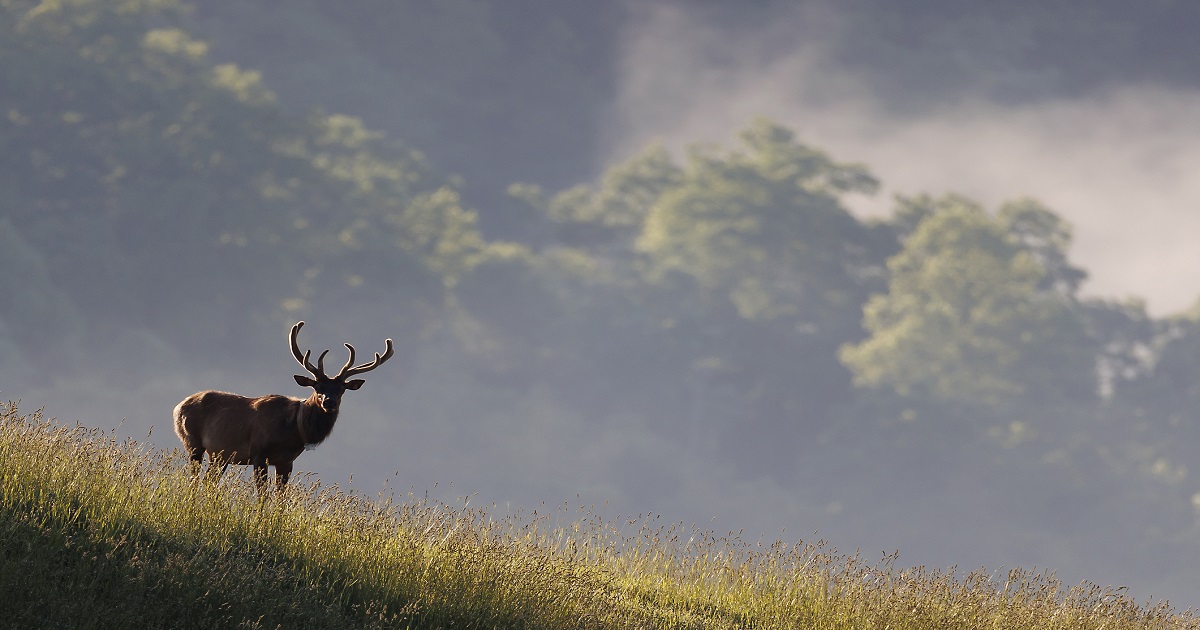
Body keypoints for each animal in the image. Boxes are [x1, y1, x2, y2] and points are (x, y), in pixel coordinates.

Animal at [173, 321, 393, 495]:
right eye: (317, 387)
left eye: (341, 390)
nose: (328, 402)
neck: (293, 430)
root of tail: (178, 407)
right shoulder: (258, 452)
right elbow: (263, 495)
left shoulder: (287, 461)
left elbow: (281, 498)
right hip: (193, 443)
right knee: (194, 480)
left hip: (219, 455)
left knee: (208, 481)